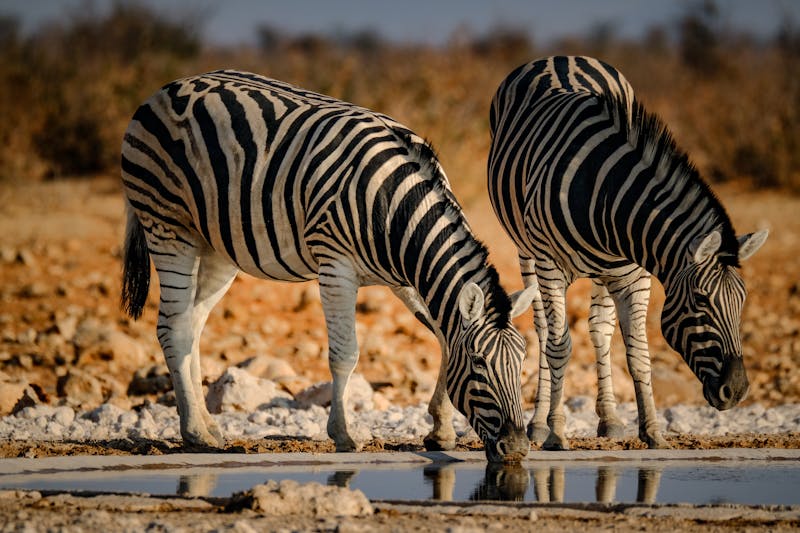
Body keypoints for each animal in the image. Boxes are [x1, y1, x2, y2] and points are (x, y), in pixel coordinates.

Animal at [120, 70, 537, 462]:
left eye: (521, 364)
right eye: (479, 365)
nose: (518, 448)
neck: (395, 208)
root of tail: (164, 90)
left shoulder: (406, 278)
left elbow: (444, 338)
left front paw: (441, 429)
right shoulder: (336, 266)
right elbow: (345, 354)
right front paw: (343, 434)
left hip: (216, 246)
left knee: (193, 325)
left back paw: (208, 426)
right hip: (167, 225)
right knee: (173, 327)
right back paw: (194, 433)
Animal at [487, 56, 768, 449]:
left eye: (742, 300)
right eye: (700, 301)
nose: (738, 391)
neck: (603, 193)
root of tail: (563, 56)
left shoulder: (635, 274)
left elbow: (638, 353)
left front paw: (652, 431)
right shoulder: (550, 265)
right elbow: (559, 345)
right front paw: (556, 432)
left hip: (606, 272)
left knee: (600, 329)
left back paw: (610, 418)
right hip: (526, 250)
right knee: (543, 330)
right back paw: (540, 423)